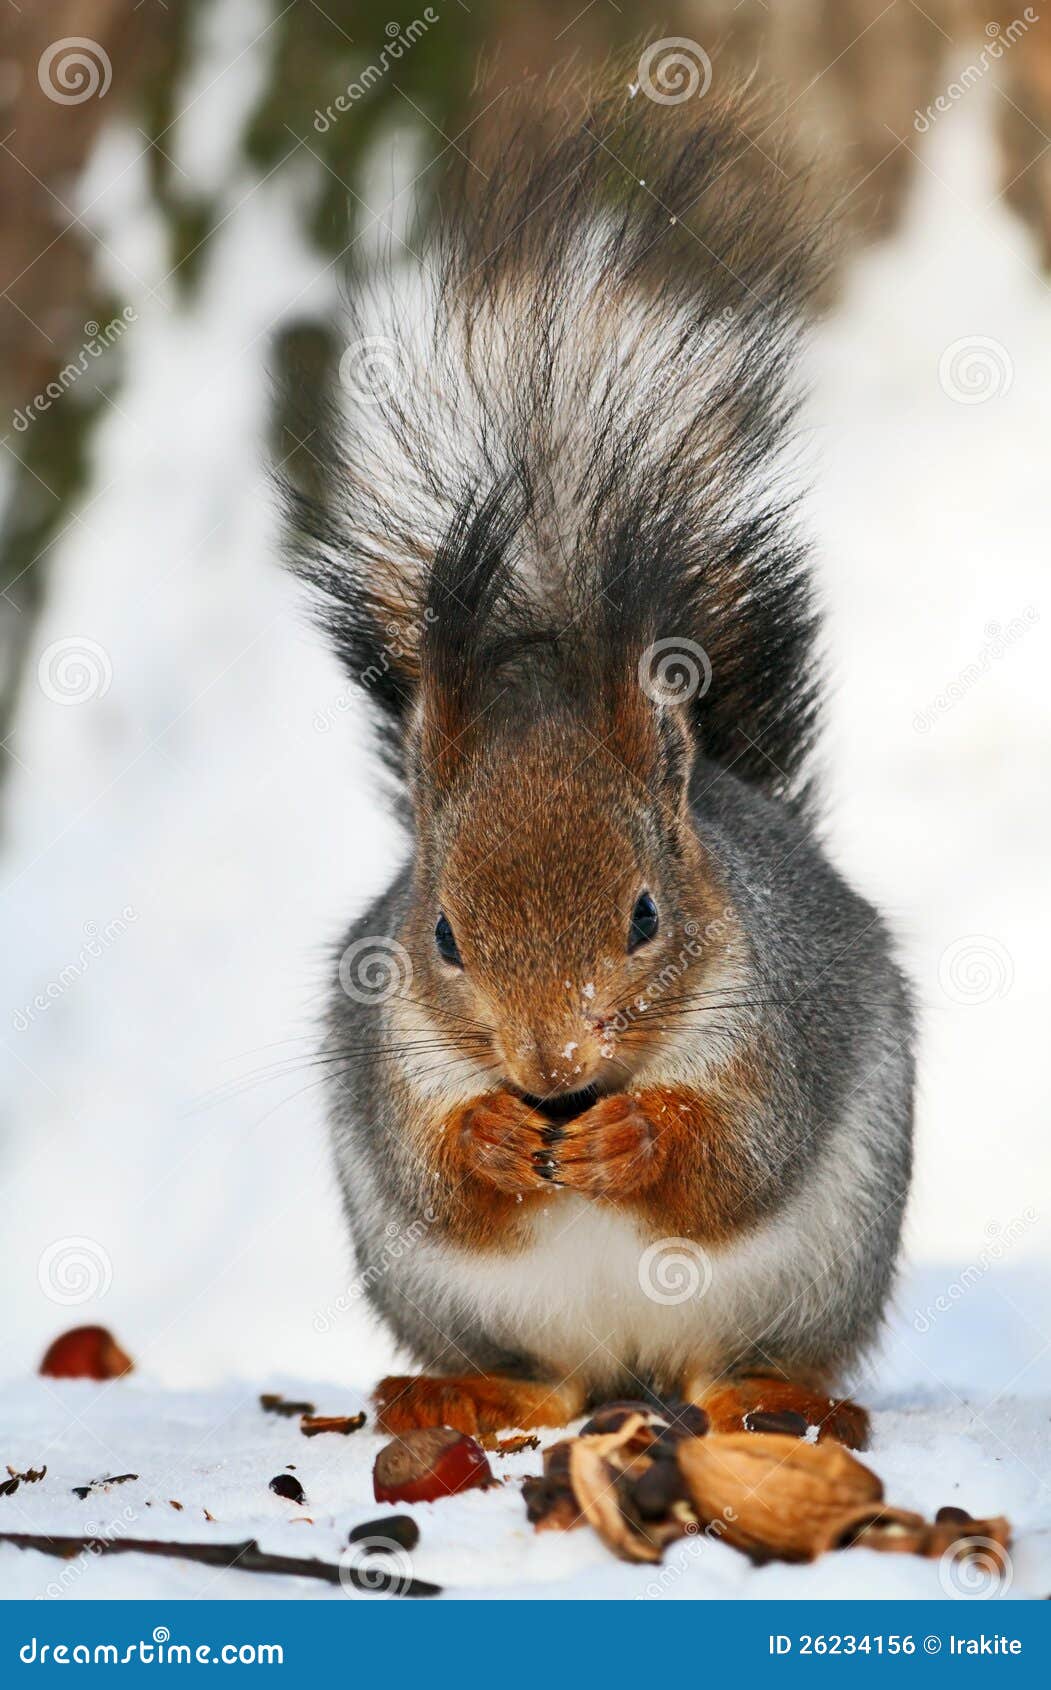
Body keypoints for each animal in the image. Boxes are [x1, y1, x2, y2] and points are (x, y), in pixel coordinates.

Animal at [287, 72, 915, 1451]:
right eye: (444, 934)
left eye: (645, 916)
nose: (550, 1069)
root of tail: (636, 1370)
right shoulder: (390, 1050)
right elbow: (433, 1169)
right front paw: (487, 1134)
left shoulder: (774, 1028)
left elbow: (735, 1157)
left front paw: (631, 1134)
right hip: (446, 1298)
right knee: (548, 1383)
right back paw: (464, 1390)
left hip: (822, 1269)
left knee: (745, 1362)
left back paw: (776, 1403)